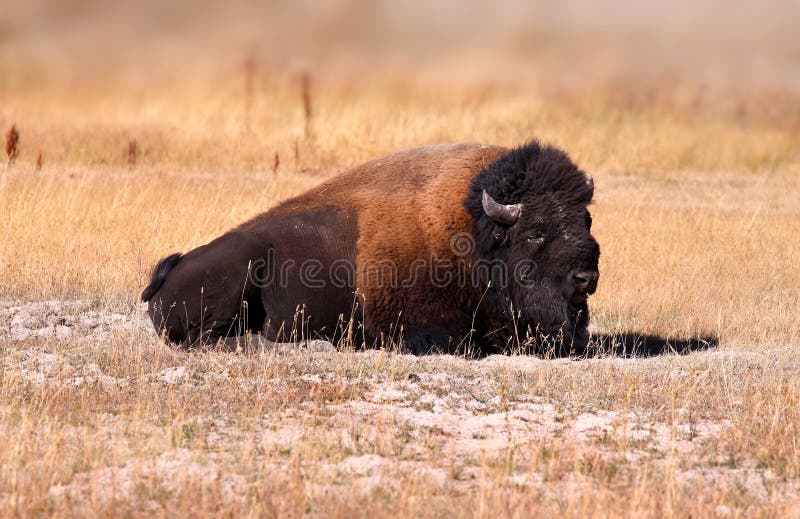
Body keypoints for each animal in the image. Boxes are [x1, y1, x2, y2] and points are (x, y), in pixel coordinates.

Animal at [142, 141, 600, 355]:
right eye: (535, 231)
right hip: (240, 274)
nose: (586, 277)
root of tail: (168, 274)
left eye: (587, 221)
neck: (478, 232)